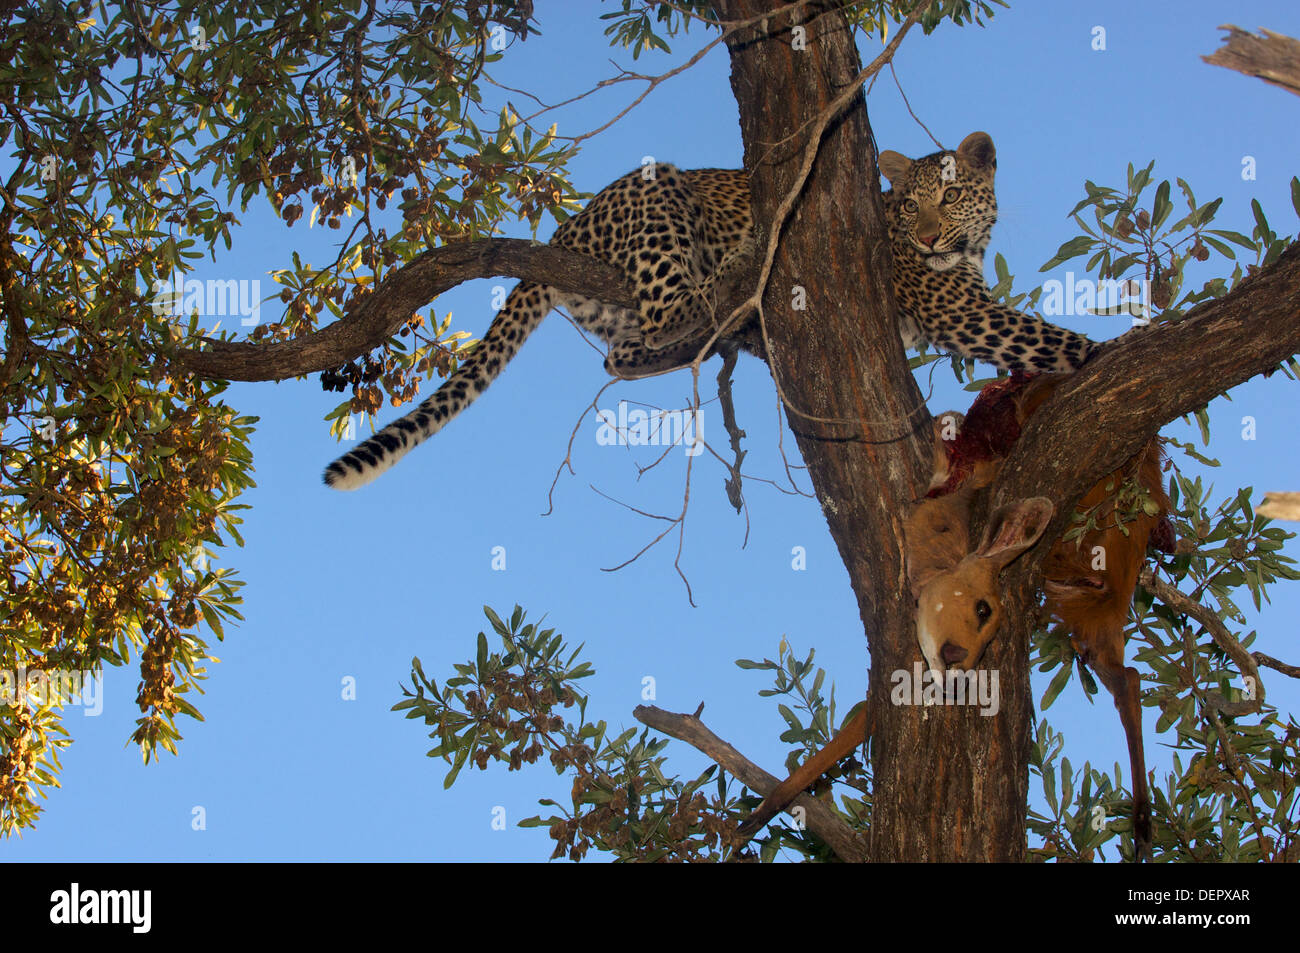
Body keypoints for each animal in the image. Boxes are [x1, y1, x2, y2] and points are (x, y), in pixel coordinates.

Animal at [323, 130, 1098, 490]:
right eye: (910, 207)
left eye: (949, 196)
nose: (929, 236)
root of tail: (563, 233)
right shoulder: (960, 309)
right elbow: (1059, 343)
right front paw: (1115, 353)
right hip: (659, 191)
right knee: (664, 315)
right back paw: (739, 273)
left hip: (621, 317)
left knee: (624, 356)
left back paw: (737, 320)